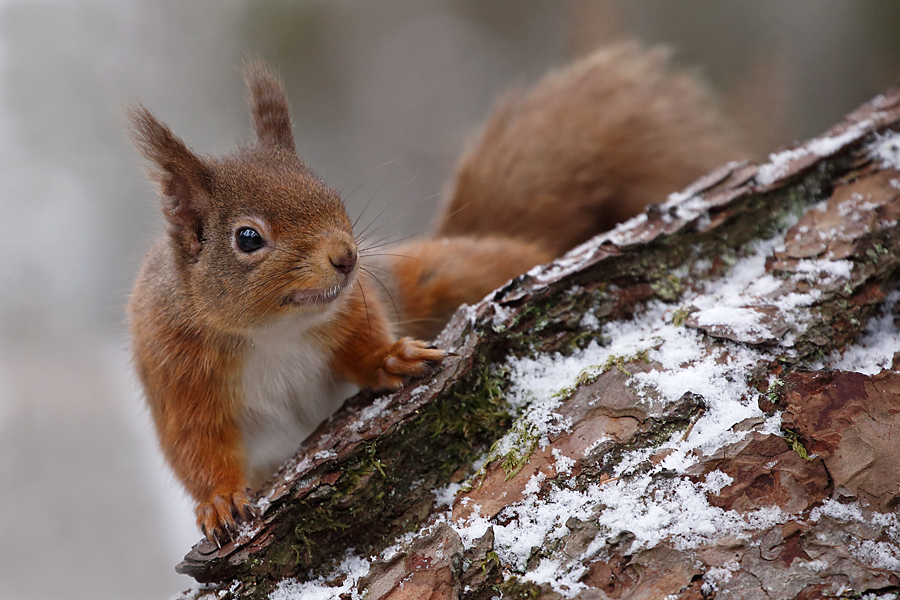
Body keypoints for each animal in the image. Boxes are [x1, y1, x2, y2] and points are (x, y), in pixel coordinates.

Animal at [127, 43, 742, 543]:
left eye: (328, 192)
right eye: (248, 238)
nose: (346, 257)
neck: (273, 333)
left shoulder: (354, 305)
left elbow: (365, 342)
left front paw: (389, 358)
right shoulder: (177, 374)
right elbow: (196, 448)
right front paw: (219, 501)